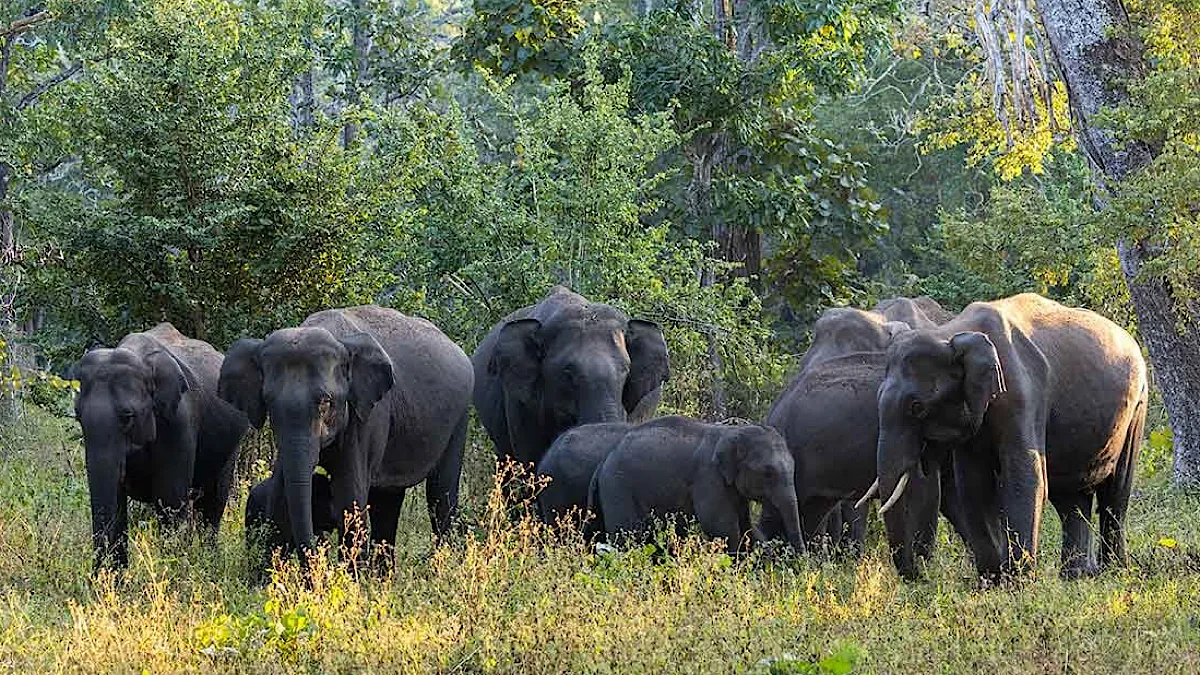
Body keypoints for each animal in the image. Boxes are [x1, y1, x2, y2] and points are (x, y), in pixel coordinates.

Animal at [74, 323, 248, 570]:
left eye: (128, 416)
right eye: (78, 416)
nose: (96, 574)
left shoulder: (179, 422)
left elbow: (170, 500)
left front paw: (174, 569)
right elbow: (117, 503)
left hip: (231, 445)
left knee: (213, 503)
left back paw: (209, 562)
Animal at [218, 305, 474, 562]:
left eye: (325, 402)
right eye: (268, 402)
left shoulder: (367, 416)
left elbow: (350, 498)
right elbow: (280, 494)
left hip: (459, 419)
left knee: (440, 494)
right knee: (388, 500)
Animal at [588, 416, 804, 555]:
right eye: (768, 473)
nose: (799, 559)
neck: (731, 433)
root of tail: (603, 463)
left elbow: (745, 524)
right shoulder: (708, 478)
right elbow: (721, 527)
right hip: (617, 489)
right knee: (627, 535)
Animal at [872, 293, 1147, 580]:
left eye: (917, 407)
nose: (920, 573)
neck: (951, 333)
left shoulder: (1023, 394)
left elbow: (1025, 477)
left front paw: (1017, 581)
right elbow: (972, 484)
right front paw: (992, 580)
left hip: (1137, 407)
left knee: (1115, 494)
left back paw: (1114, 571)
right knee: (1072, 500)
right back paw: (1076, 576)